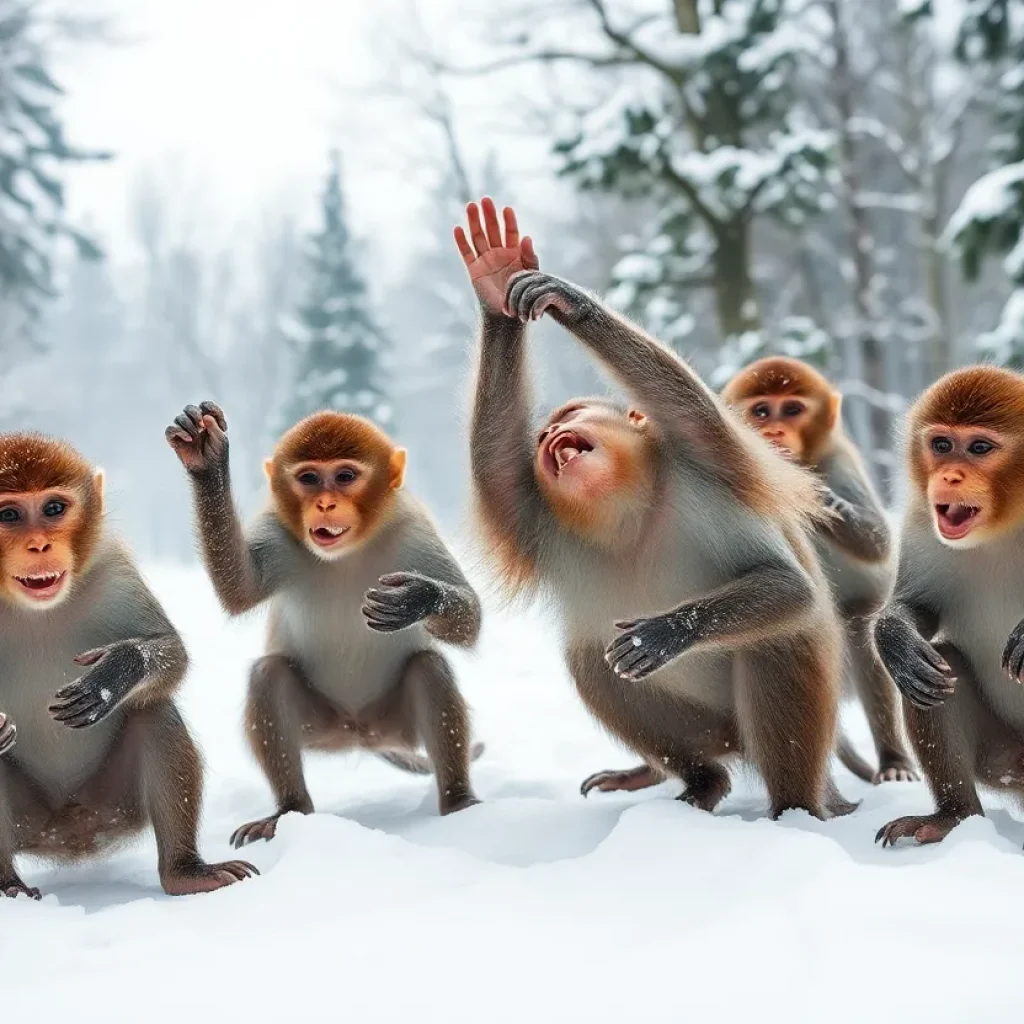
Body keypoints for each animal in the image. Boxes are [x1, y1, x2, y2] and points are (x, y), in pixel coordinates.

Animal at [0, 433, 256, 899]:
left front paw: (115, 673)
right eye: (8, 514)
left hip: (112, 806)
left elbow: (171, 653)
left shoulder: (113, 571)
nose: (39, 546)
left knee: (152, 712)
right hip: (33, 821)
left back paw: (185, 871)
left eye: (54, 508)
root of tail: (71, 833)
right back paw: (8, 885)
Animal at [166, 404, 483, 849]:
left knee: (428, 668)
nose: (325, 505)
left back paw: (458, 801)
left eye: (345, 476)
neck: (347, 552)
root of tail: (360, 731)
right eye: (309, 478)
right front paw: (206, 457)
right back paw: (289, 809)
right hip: (323, 726)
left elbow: (471, 618)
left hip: (394, 720)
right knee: (269, 675)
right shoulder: (279, 532)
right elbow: (240, 588)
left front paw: (419, 598)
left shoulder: (416, 532)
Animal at [455, 198, 853, 820]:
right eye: (544, 430)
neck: (628, 511)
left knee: (778, 639)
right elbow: (497, 473)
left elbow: (789, 585)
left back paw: (794, 811)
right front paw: (496, 291)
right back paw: (701, 782)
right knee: (593, 656)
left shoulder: (706, 467)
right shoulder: (537, 517)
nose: (551, 435)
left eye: (570, 415)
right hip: (711, 732)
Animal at [721, 357, 916, 785]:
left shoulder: (838, 462)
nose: (776, 431)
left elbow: (880, 542)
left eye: (792, 409)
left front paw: (821, 500)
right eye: (762, 411)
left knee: (860, 628)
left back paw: (893, 760)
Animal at [872, 365, 1024, 847]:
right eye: (941, 445)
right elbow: (919, 608)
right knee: (941, 664)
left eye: (979, 448)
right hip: (1003, 759)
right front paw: (896, 640)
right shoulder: (922, 524)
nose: (950, 477)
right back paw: (952, 817)